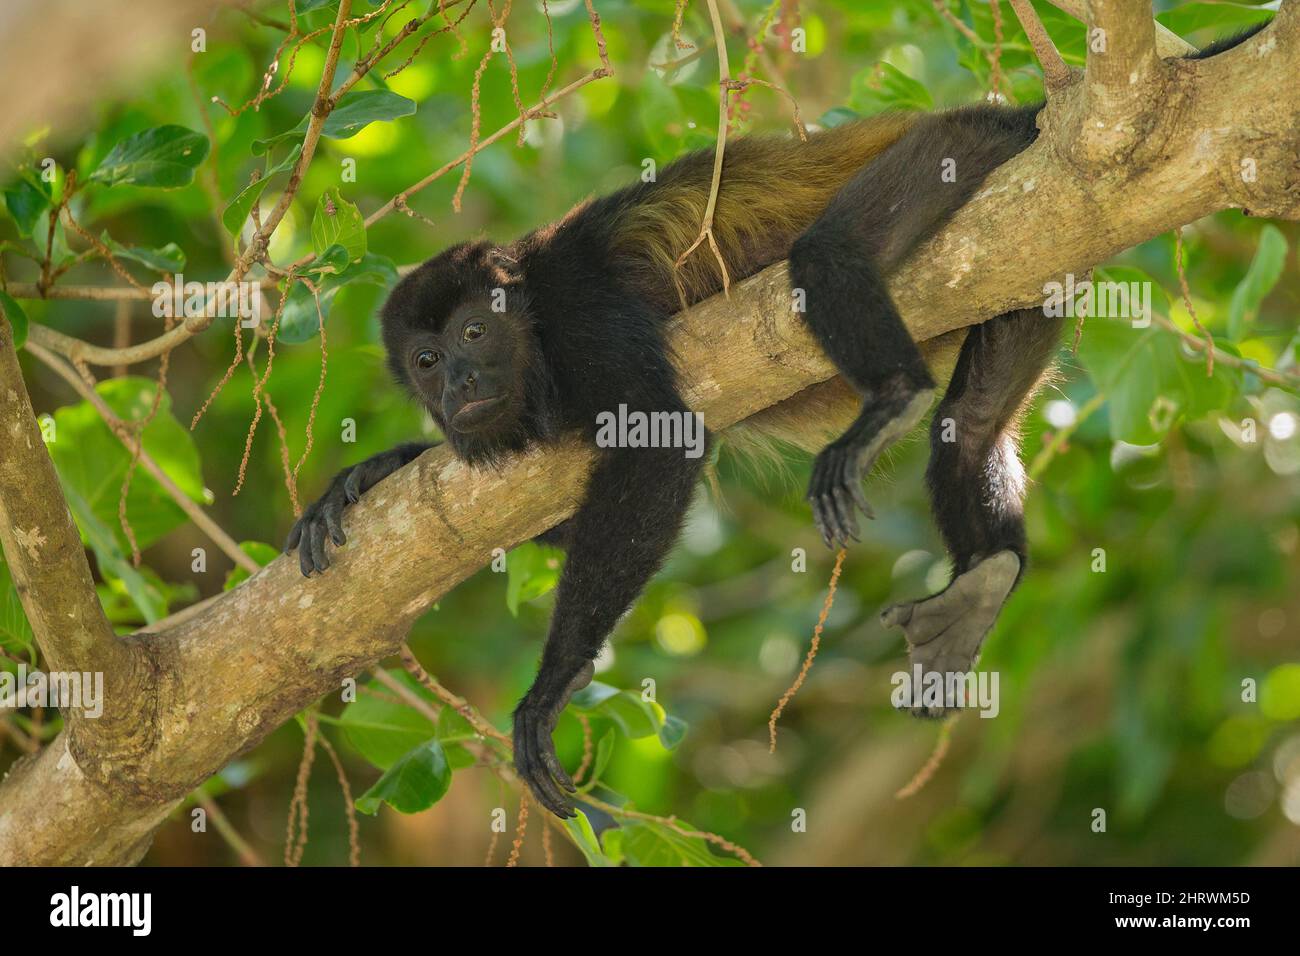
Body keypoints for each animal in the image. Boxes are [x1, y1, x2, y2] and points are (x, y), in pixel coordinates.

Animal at [285, 22, 1272, 816]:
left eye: (473, 333)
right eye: (423, 360)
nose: (456, 385)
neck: (531, 341)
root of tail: (1038, 116)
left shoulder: (580, 305)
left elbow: (663, 445)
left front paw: (551, 686)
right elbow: (562, 527)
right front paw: (363, 476)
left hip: (965, 150)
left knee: (827, 252)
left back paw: (891, 396)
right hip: (1033, 272)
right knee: (975, 425)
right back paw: (983, 577)